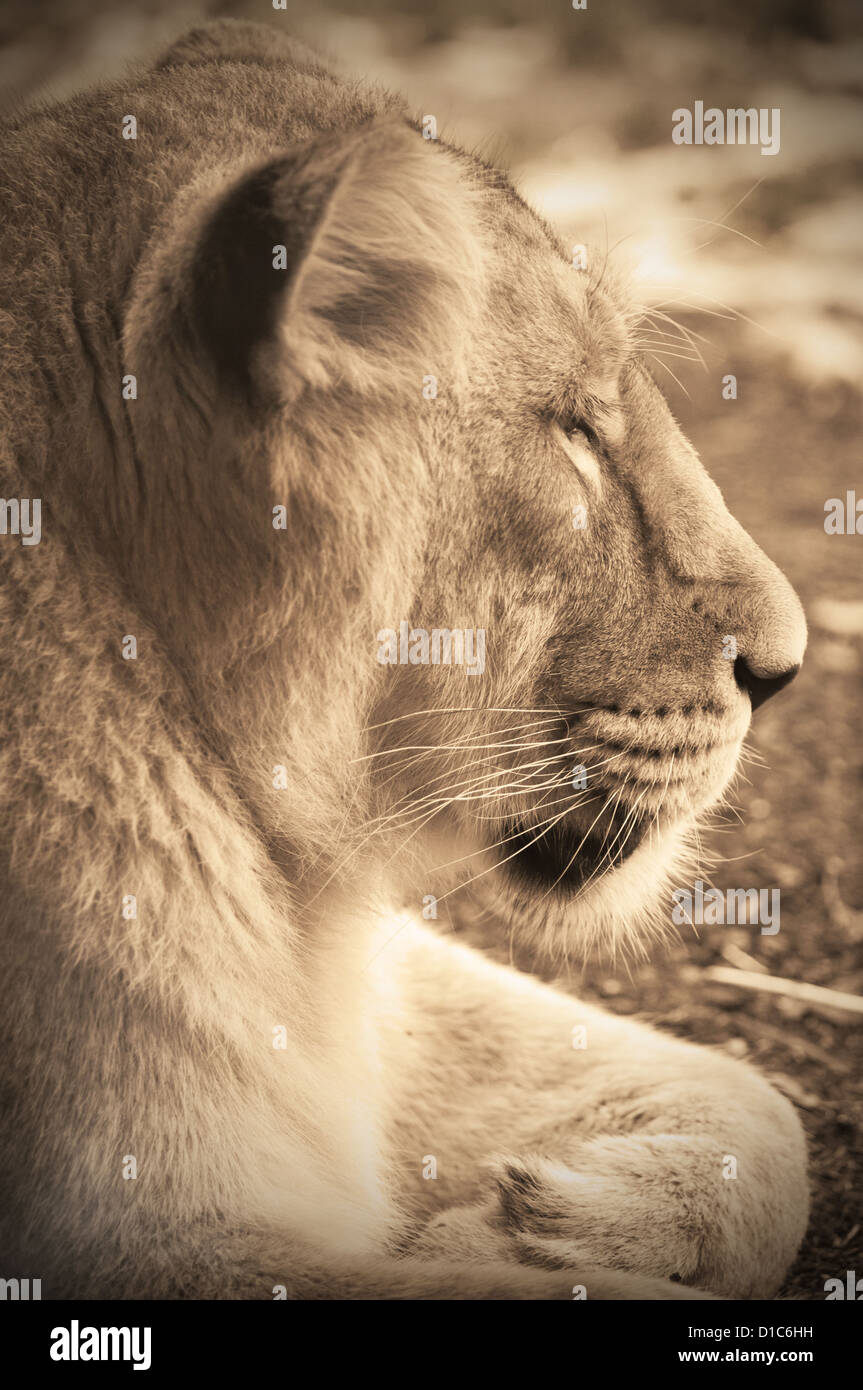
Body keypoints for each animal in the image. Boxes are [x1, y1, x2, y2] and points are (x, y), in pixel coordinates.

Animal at [0, 19, 809, 1299]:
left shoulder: (356, 988)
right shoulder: (147, 1239)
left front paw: (539, 1219)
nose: (785, 668)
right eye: (572, 433)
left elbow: (762, 1108)